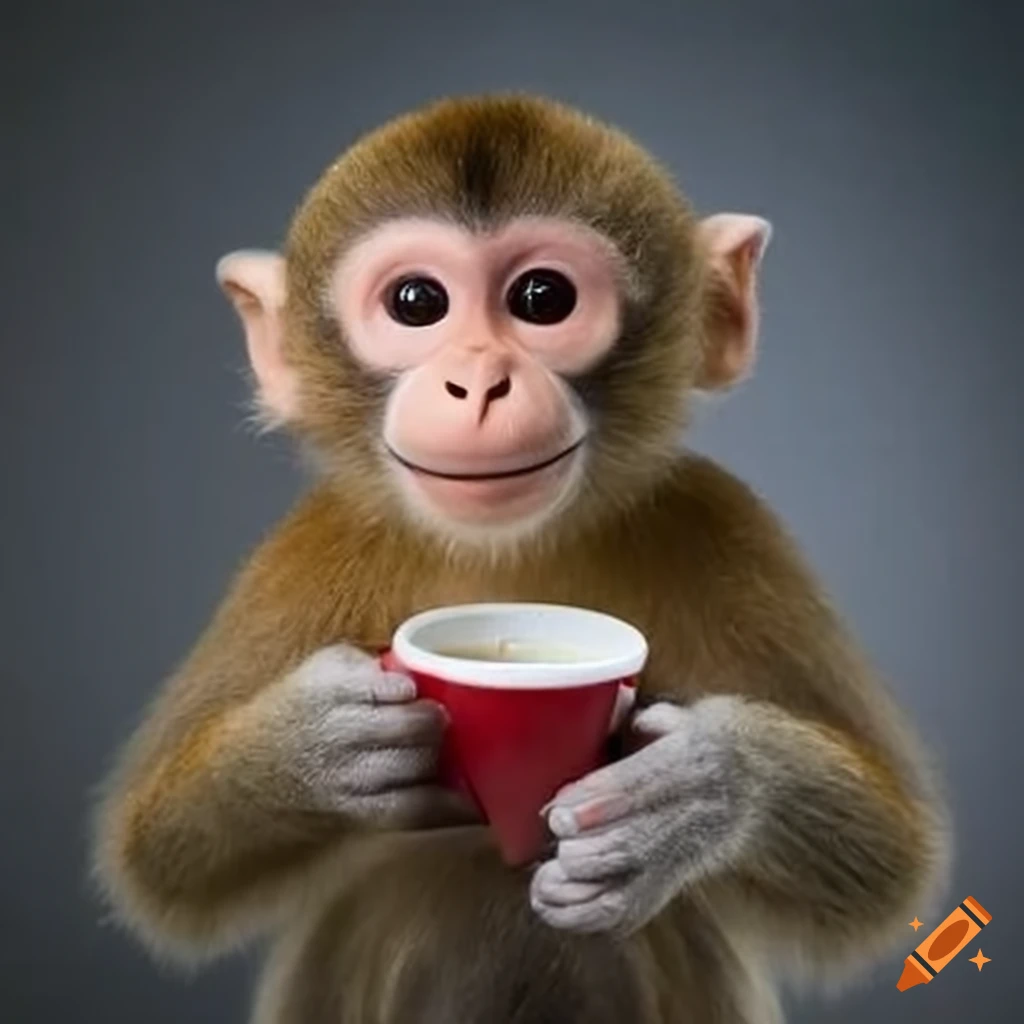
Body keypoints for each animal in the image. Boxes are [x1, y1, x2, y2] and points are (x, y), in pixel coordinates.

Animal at [90, 94, 950, 1024]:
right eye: (418, 301)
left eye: (543, 297)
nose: (477, 383)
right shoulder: (311, 551)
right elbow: (159, 861)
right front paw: (315, 747)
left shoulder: (723, 527)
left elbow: (889, 866)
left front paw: (698, 791)